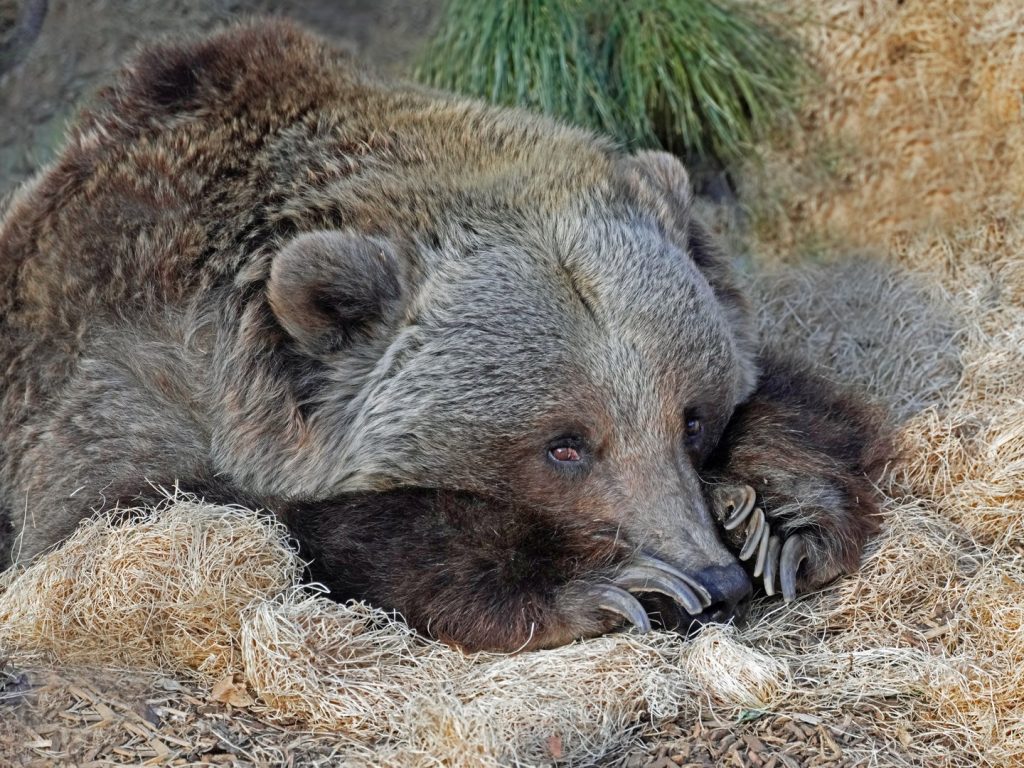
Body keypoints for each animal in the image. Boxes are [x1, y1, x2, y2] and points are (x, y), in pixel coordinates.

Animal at [0, 20, 889, 651]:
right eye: (565, 445)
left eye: (693, 416)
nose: (712, 576)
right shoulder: (119, 386)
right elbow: (165, 514)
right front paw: (613, 580)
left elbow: (801, 398)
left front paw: (774, 519)